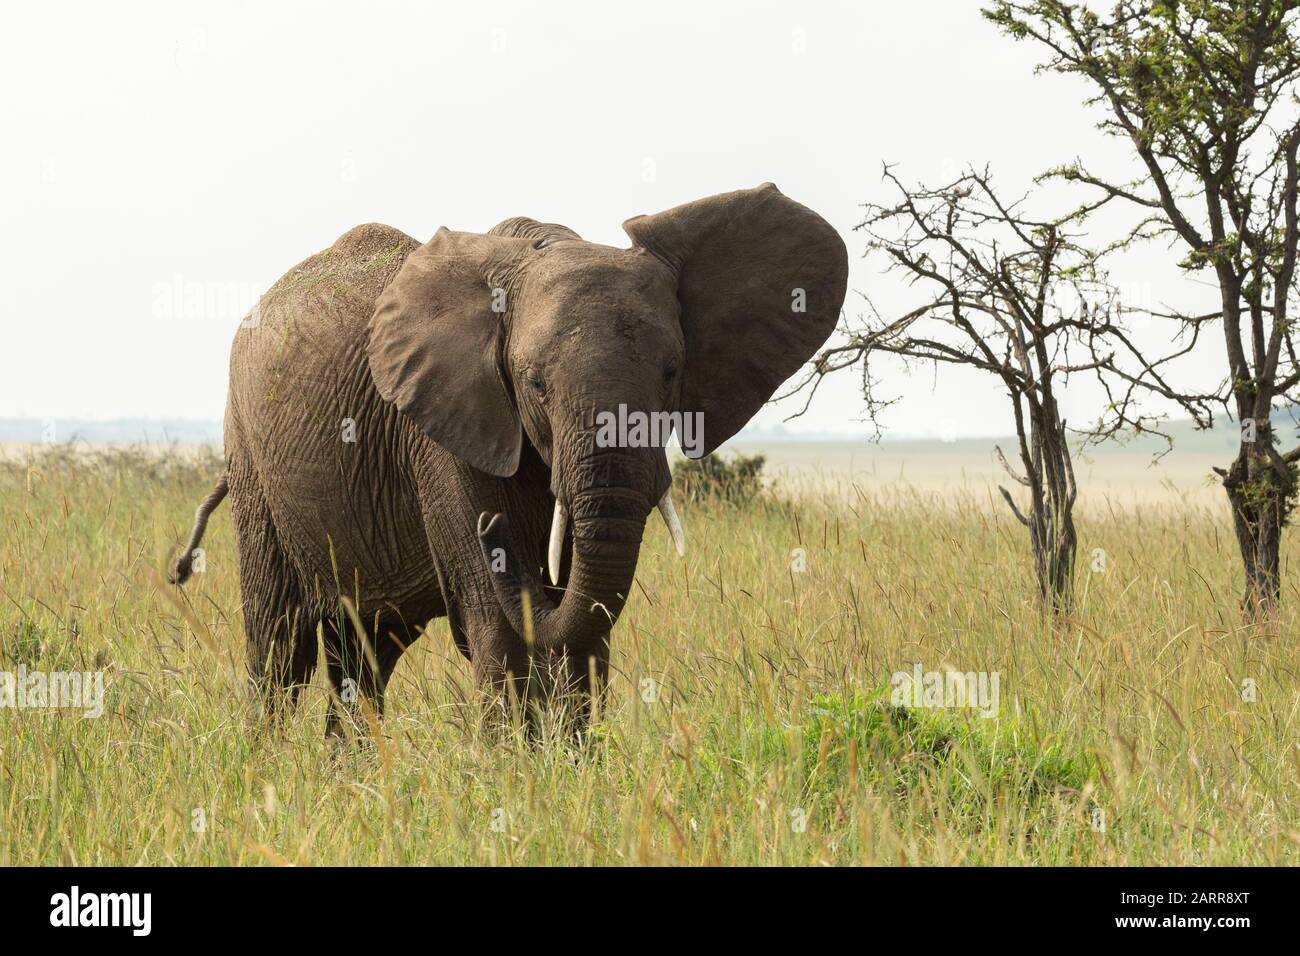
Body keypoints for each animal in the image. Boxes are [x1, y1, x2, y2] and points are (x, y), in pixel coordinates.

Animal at [169, 183, 848, 737]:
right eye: (535, 385)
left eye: (672, 373)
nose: (493, 531)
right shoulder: (443, 434)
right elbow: (498, 624)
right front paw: (518, 780)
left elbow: (585, 619)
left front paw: (576, 772)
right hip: (251, 458)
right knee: (280, 647)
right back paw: (272, 764)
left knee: (364, 653)